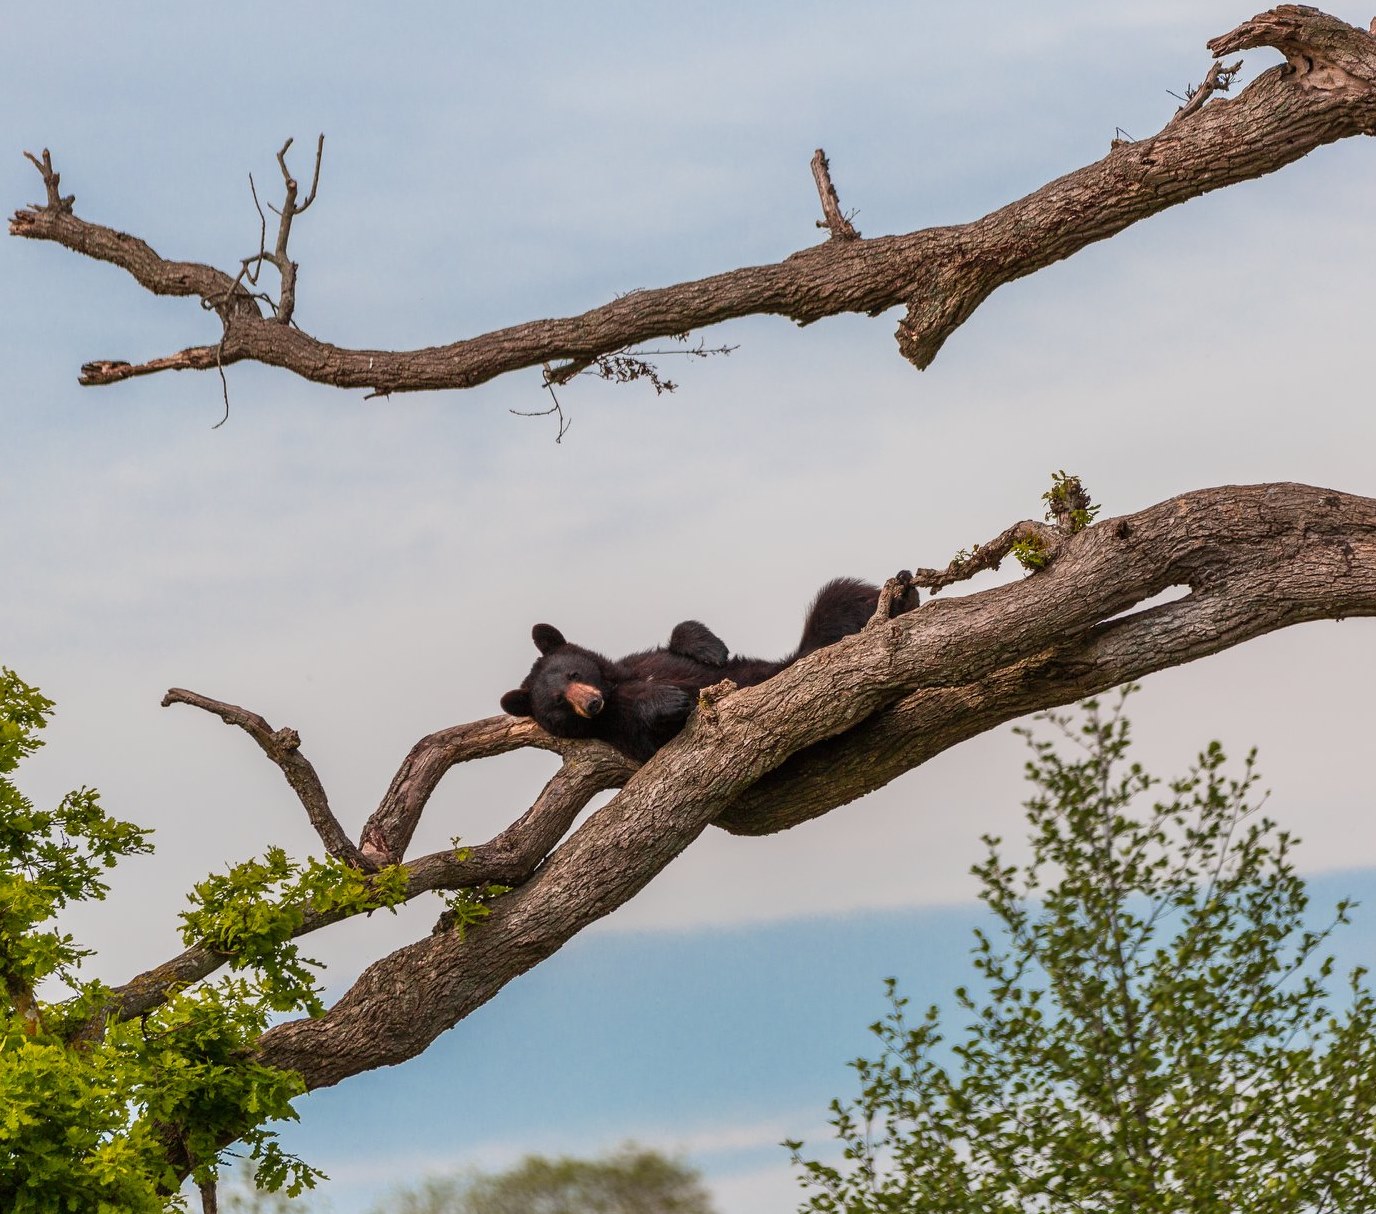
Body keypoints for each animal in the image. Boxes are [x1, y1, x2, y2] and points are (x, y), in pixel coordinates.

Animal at [500, 575, 918, 761]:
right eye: (558, 701)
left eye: (574, 674)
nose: (591, 703)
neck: (614, 685)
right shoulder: (619, 730)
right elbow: (650, 732)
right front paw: (669, 699)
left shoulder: (634, 661)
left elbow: (680, 638)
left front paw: (709, 649)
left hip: (808, 650)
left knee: (841, 597)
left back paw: (904, 596)